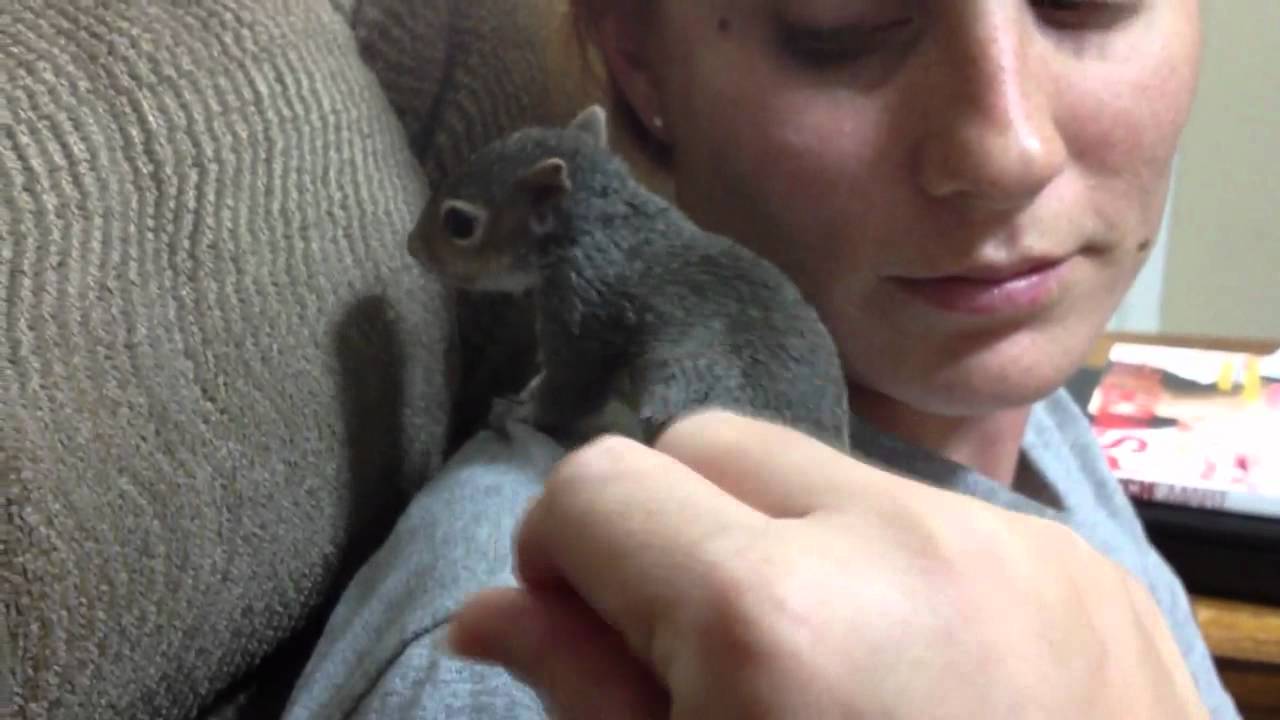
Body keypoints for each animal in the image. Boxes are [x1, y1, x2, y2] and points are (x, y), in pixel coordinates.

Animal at [407, 104, 851, 452]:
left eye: (460, 224)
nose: (412, 246)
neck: (600, 225)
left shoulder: (584, 310)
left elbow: (571, 388)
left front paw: (518, 411)